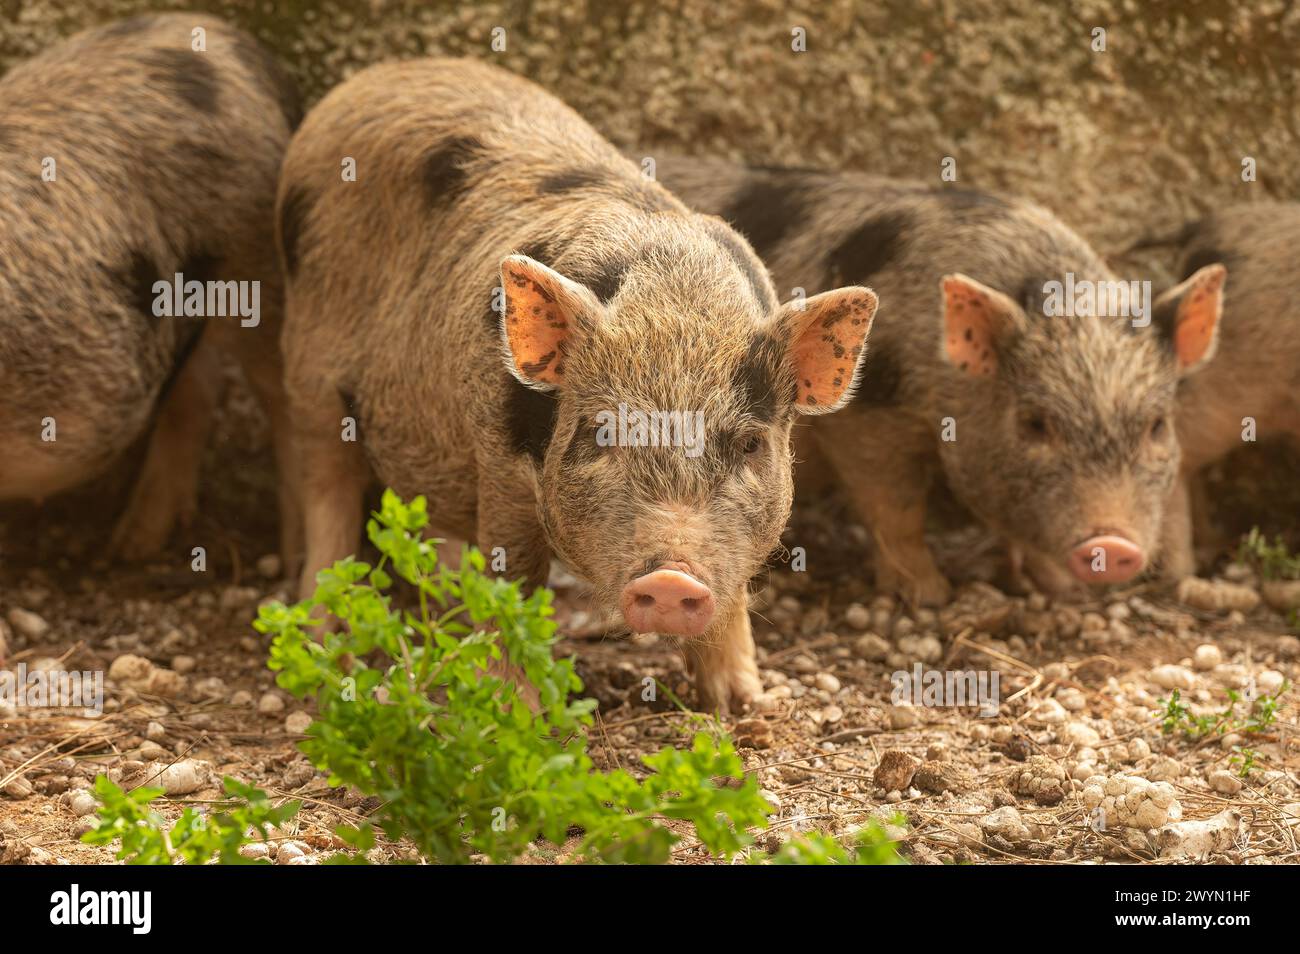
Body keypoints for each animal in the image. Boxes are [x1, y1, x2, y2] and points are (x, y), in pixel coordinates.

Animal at [0, 13, 300, 560]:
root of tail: (240, 47)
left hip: (259, 273)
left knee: (293, 416)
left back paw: (298, 570)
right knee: (196, 386)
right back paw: (131, 546)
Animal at [275, 58, 877, 712]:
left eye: (748, 444)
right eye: (600, 434)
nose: (672, 578)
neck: (676, 308)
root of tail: (383, 74)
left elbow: (735, 592)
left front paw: (744, 701)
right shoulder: (498, 459)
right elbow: (513, 580)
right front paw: (516, 710)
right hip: (309, 372)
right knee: (326, 492)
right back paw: (322, 644)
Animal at [654, 156, 1224, 604]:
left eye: (1157, 426)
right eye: (1035, 424)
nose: (1114, 546)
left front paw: (1055, 588)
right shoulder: (868, 416)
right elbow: (898, 506)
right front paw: (930, 595)